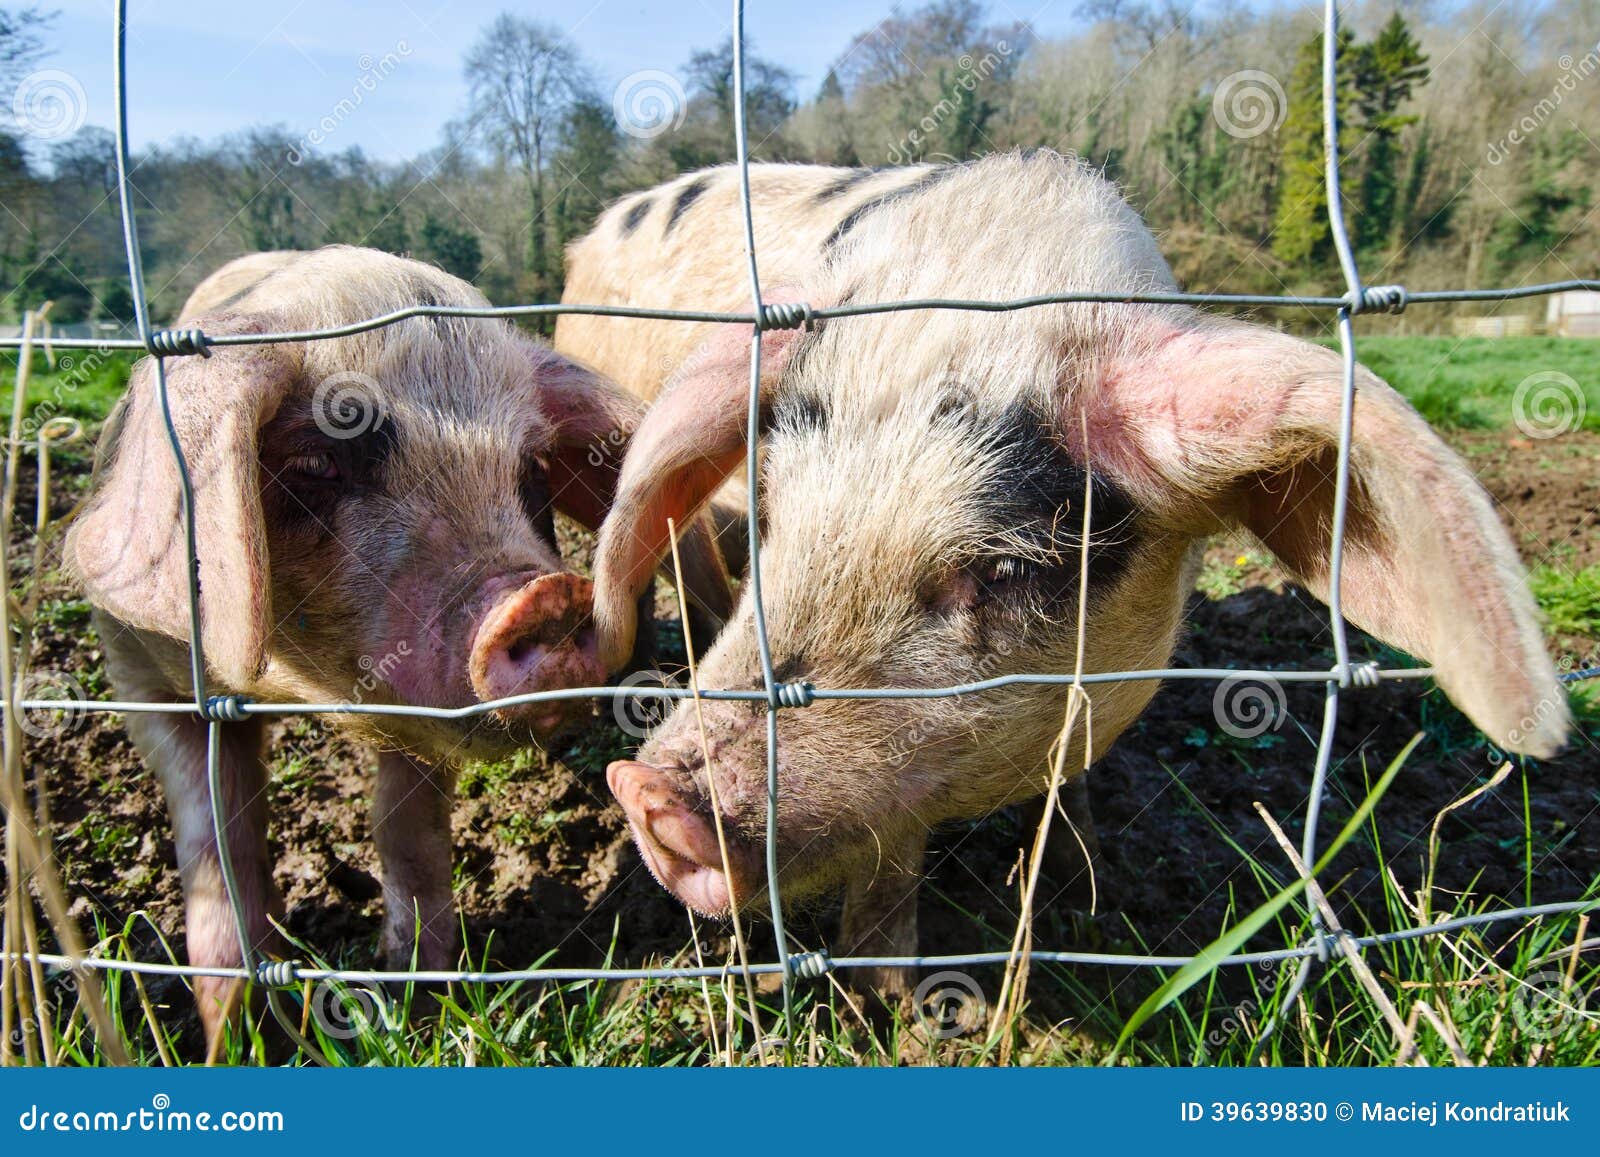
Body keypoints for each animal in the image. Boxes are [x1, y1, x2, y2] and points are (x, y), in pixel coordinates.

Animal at [65, 245, 730, 1046]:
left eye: (531, 471)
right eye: (317, 464)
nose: (547, 597)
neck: (293, 690)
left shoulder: (426, 719)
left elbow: (404, 832)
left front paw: (417, 1002)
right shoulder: (138, 667)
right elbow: (217, 842)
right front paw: (233, 1037)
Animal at [556, 152, 1570, 986]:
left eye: (1007, 565)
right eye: (773, 509)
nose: (647, 793)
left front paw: (1082, 888)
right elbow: (892, 854)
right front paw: (889, 999)